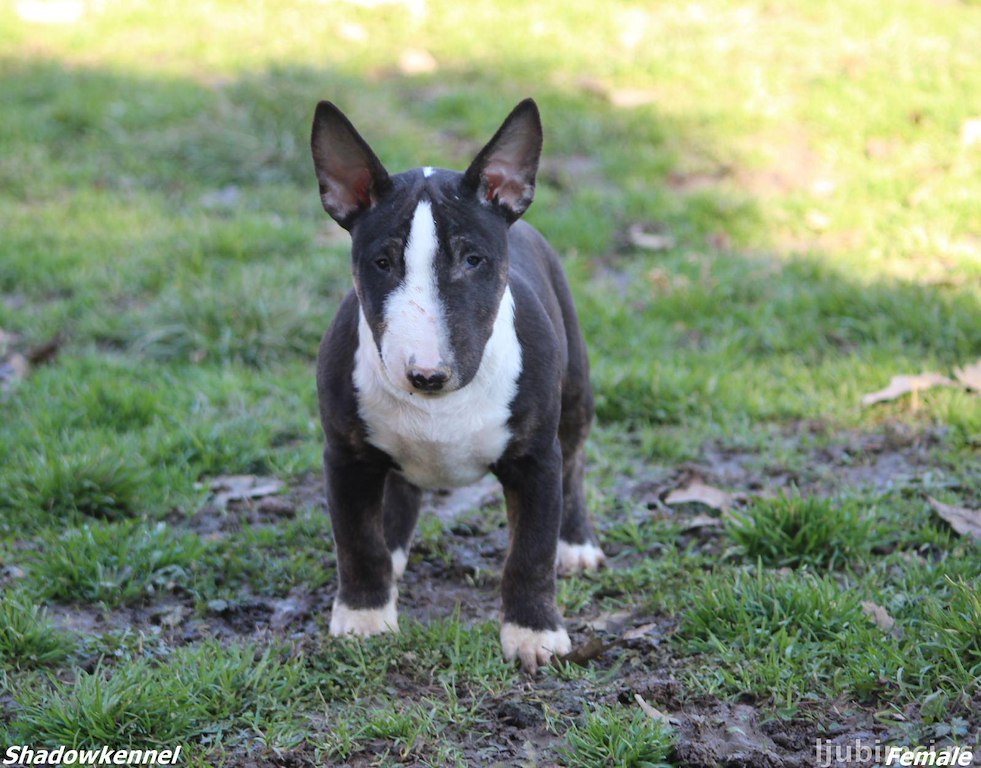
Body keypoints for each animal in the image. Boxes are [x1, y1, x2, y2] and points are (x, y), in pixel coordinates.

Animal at [312, 97, 604, 672]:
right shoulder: (345, 455)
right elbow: (356, 541)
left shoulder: (536, 459)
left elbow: (530, 551)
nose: (426, 373)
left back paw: (576, 544)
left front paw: (533, 633)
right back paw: (394, 553)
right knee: (400, 489)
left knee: (577, 460)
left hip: (576, 390)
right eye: (382, 262)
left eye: (473, 260)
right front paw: (364, 617)